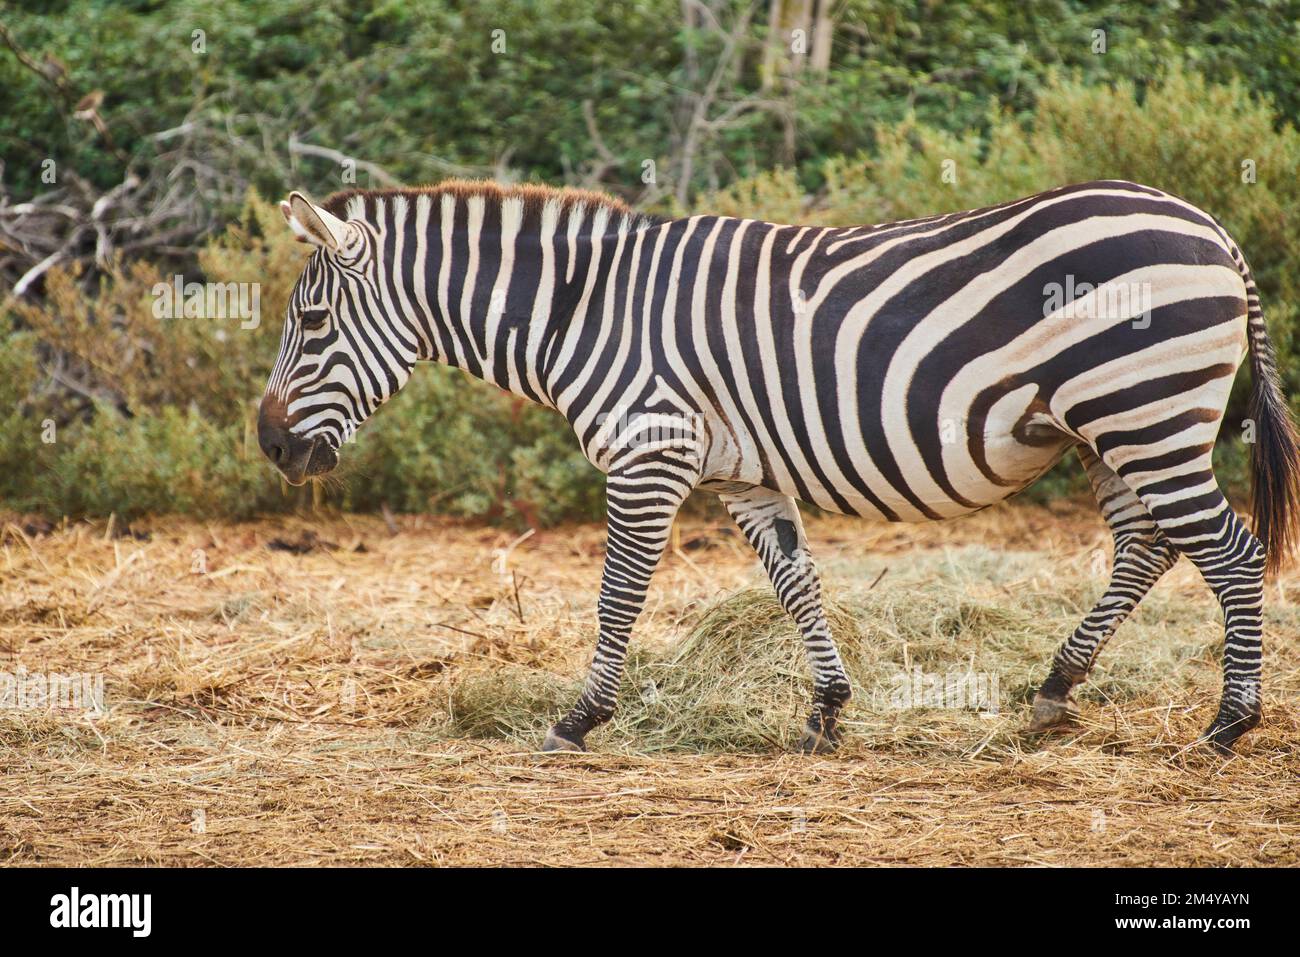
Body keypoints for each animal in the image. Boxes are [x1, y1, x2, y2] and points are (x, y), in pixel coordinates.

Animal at [258, 178, 1300, 755]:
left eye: (312, 322)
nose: (268, 446)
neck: (584, 308)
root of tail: (1213, 228)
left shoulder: (648, 453)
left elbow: (618, 596)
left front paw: (578, 719)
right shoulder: (742, 474)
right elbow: (795, 580)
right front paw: (827, 712)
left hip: (1143, 409)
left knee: (1232, 554)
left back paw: (1227, 726)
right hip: (1111, 426)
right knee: (1148, 546)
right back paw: (1054, 689)